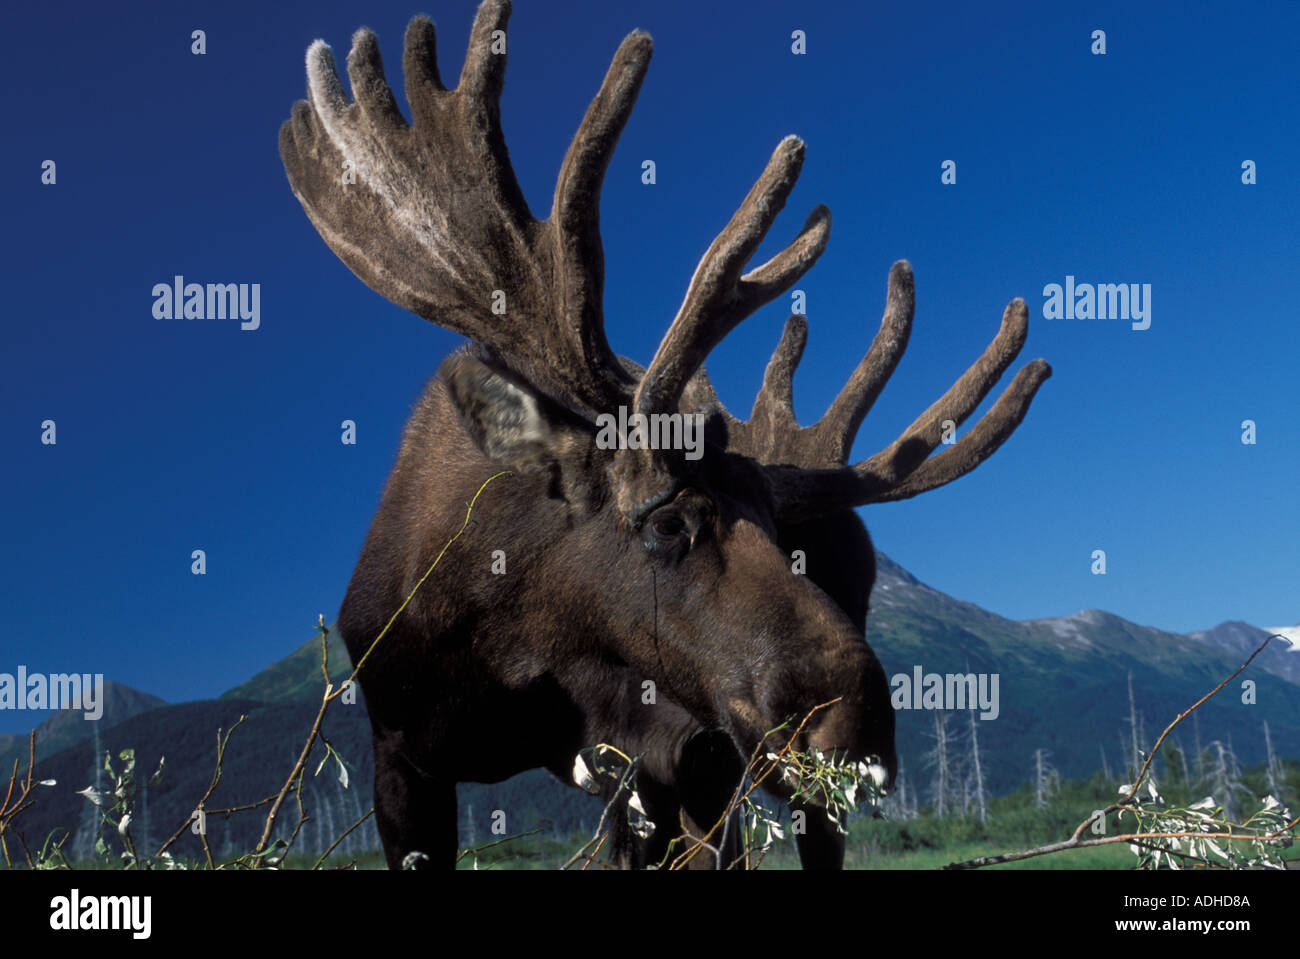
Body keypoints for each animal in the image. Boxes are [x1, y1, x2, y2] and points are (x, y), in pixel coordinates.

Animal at [278, 1, 1051, 870]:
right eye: (668, 520)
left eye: (787, 535)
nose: (856, 726)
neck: (512, 638)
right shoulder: (401, 752)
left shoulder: (685, 754)